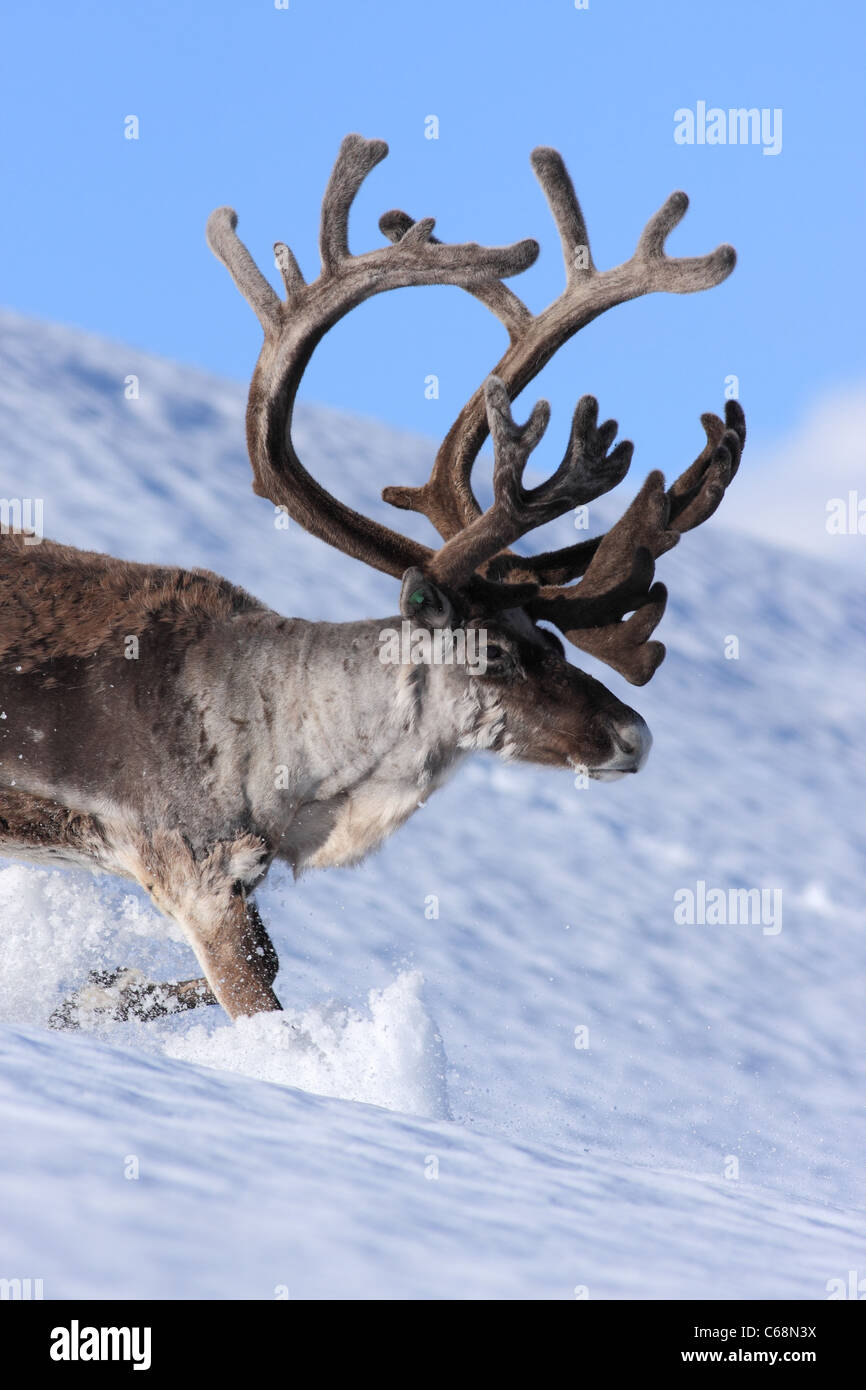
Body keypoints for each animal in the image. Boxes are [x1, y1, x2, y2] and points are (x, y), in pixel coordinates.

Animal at [0, 135, 745, 1028]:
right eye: (495, 655)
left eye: (556, 641)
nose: (635, 735)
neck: (299, 769)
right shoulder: (192, 868)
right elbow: (264, 1005)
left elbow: (260, 965)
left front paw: (90, 995)